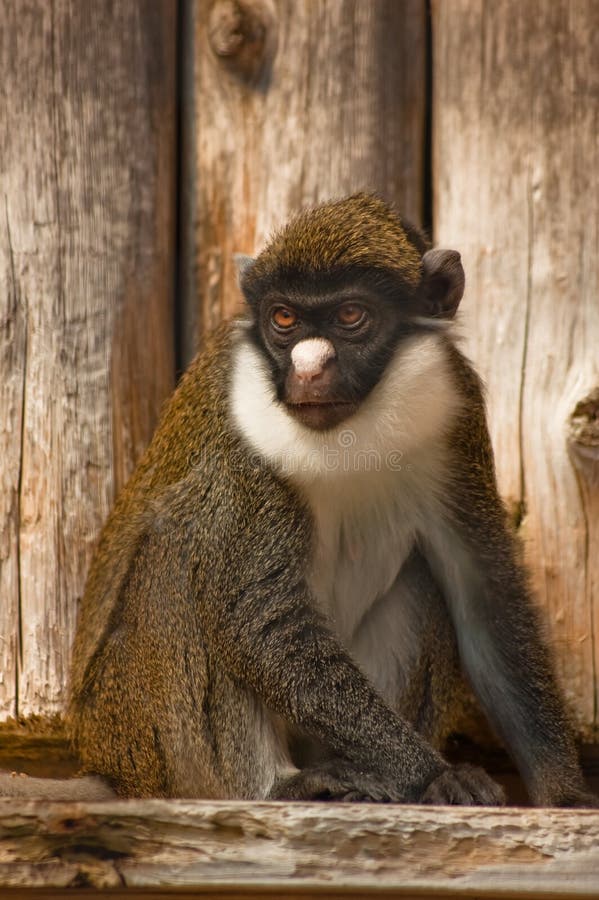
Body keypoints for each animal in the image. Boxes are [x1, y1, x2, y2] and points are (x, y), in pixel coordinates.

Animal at [1, 193, 596, 807]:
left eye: (351, 316)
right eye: (283, 319)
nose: (307, 370)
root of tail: (104, 762)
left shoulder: (455, 416)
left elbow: (484, 596)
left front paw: (564, 794)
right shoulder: (245, 452)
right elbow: (255, 616)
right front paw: (436, 775)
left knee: (423, 582)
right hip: (144, 739)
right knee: (178, 551)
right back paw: (283, 786)